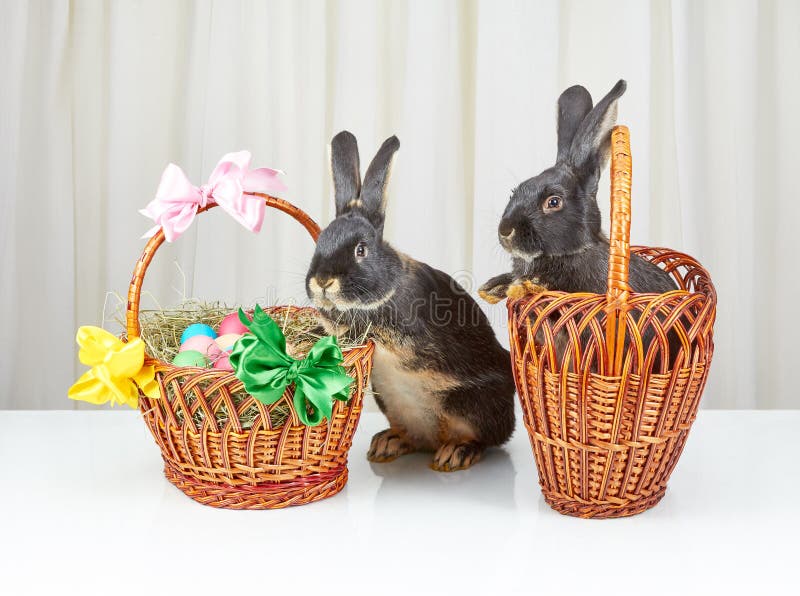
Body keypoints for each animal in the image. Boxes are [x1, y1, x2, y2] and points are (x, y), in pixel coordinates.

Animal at [306, 131, 516, 472]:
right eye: (319, 243)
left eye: (361, 250)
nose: (323, 281)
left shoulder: (410, 335)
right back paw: (386, 444)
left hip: (470, 407)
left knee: (483, 438)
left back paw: (455, 453)